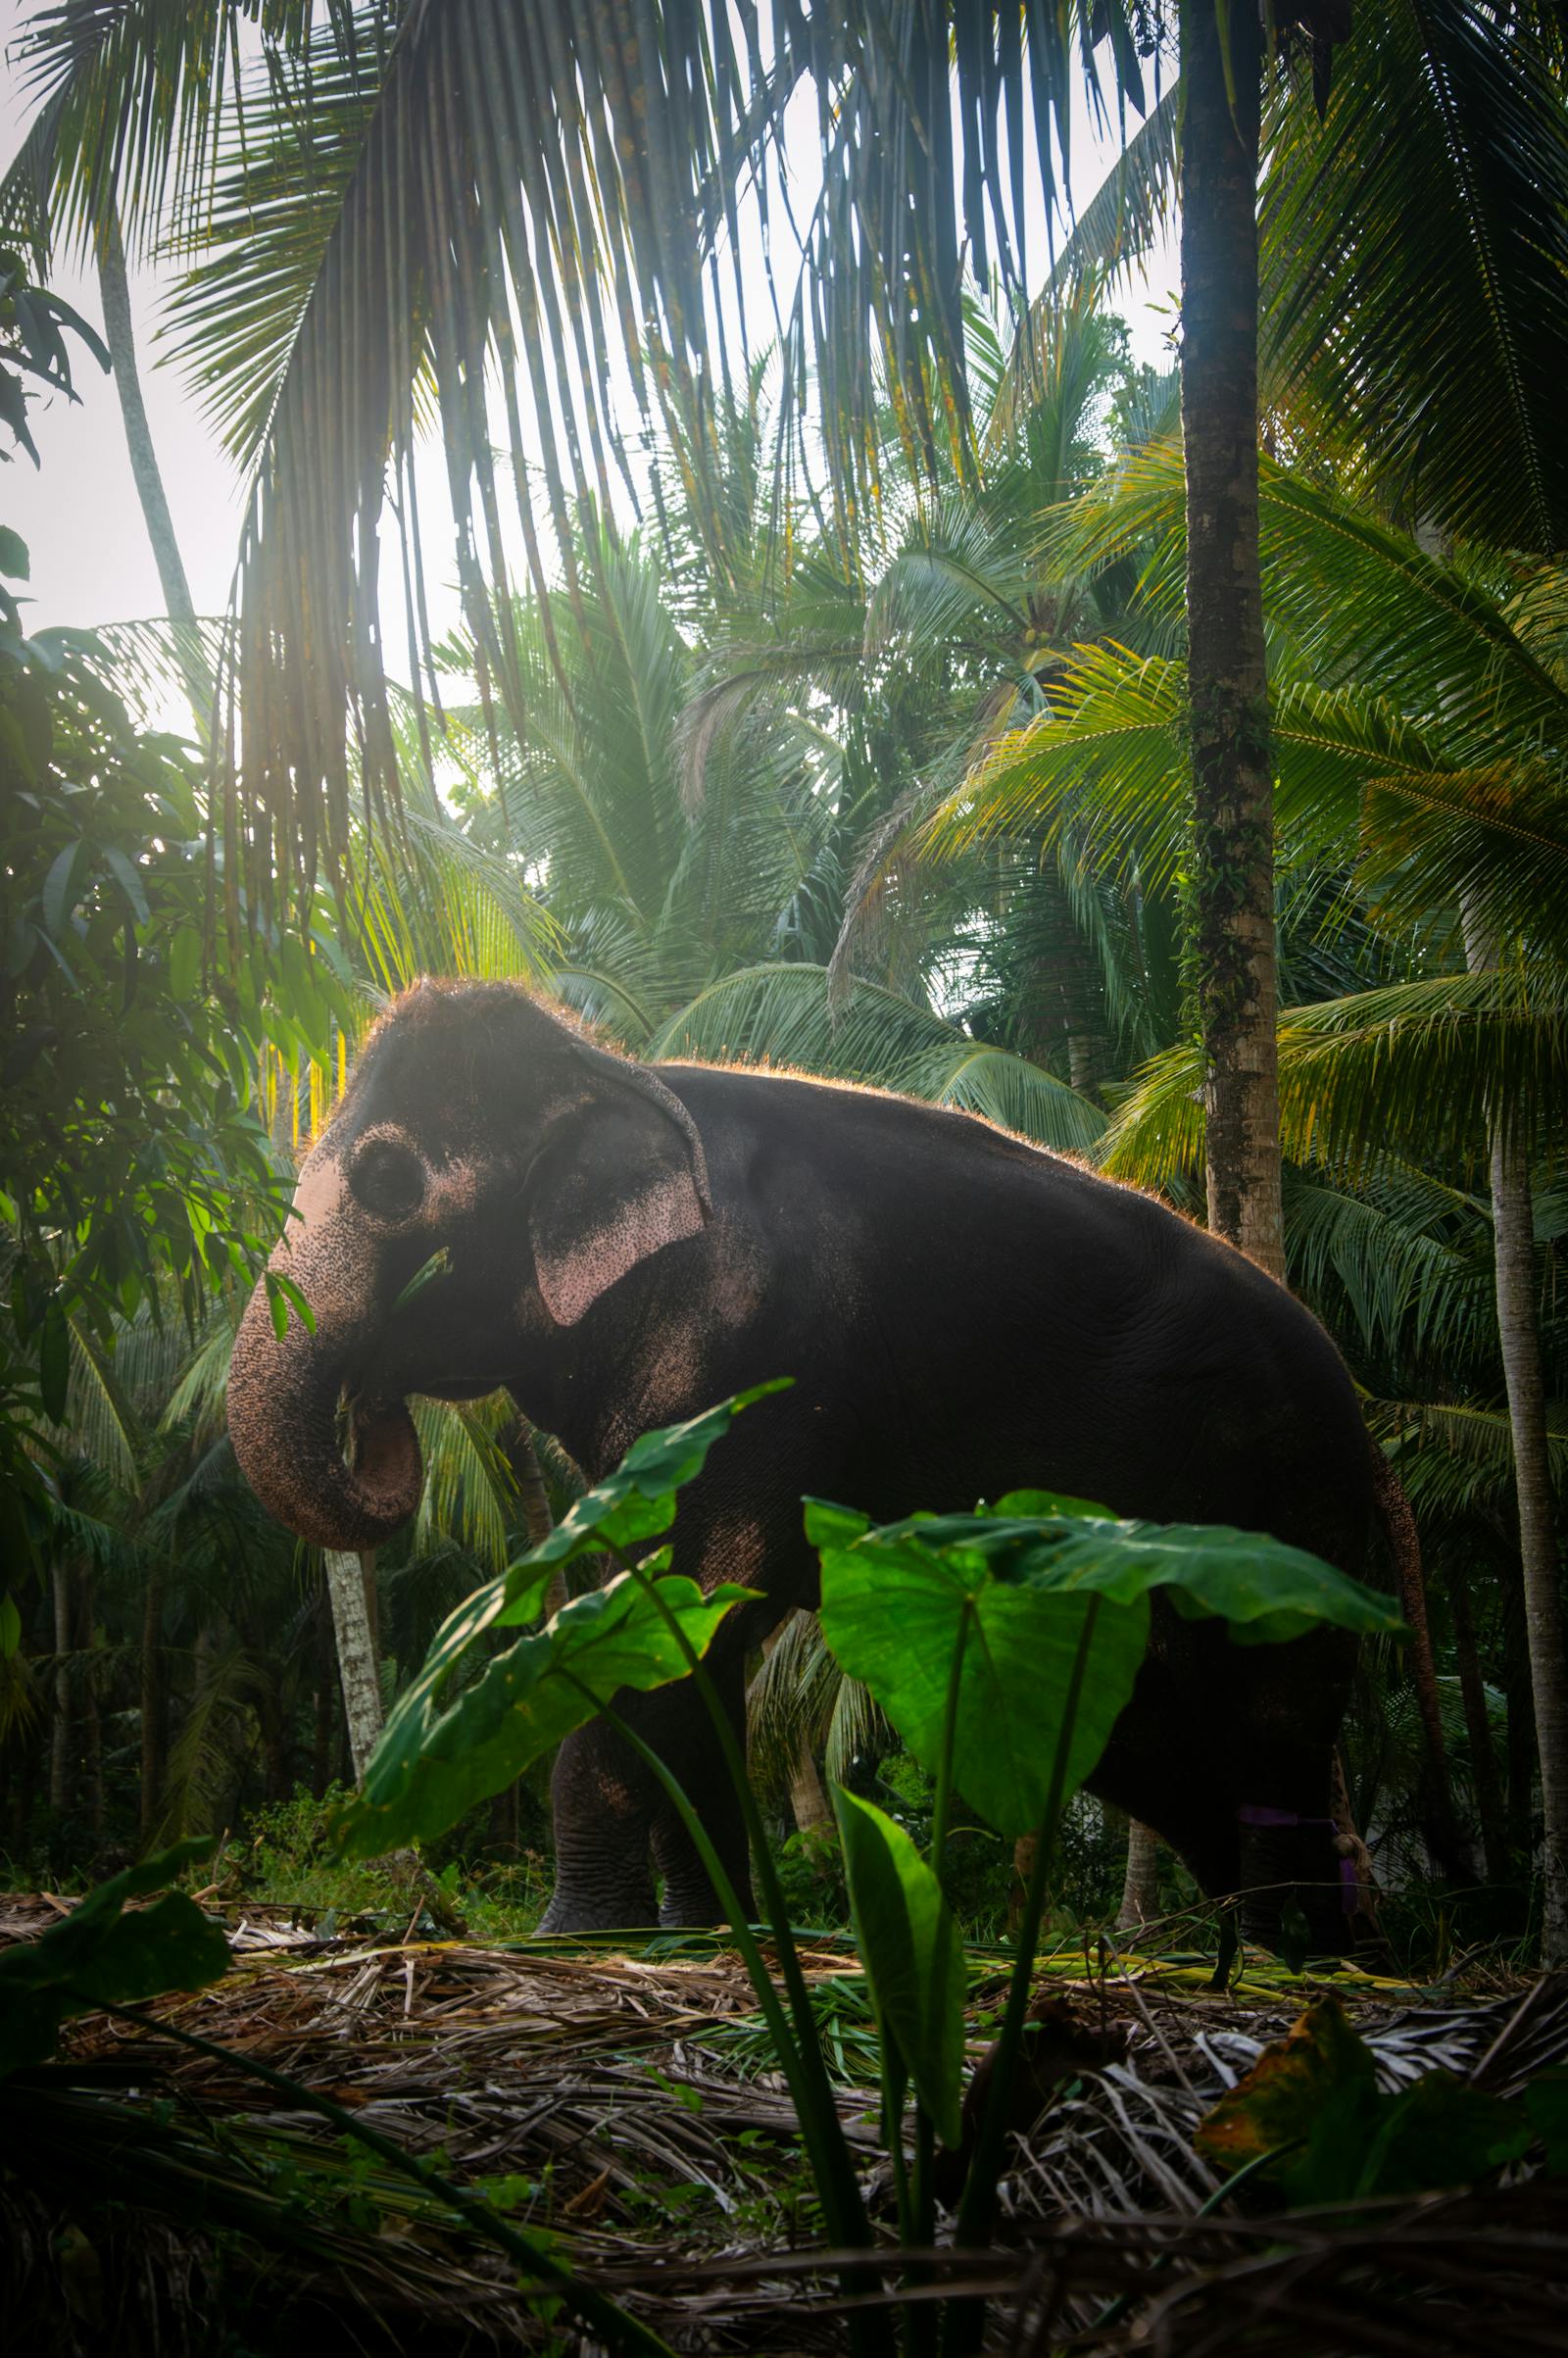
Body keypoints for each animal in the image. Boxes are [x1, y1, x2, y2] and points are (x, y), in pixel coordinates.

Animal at [228, 977, 1394, 1948]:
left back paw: (1289, 1966)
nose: (374, 1401)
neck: (619, 1072)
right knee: (1179, 1753)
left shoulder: (760, 1363)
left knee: (1267, 1725)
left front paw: (573, 1941)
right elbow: (687, 1644)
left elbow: (682, 1604)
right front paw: (705, 1936)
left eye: (387, 1178)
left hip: (1281, 1512)